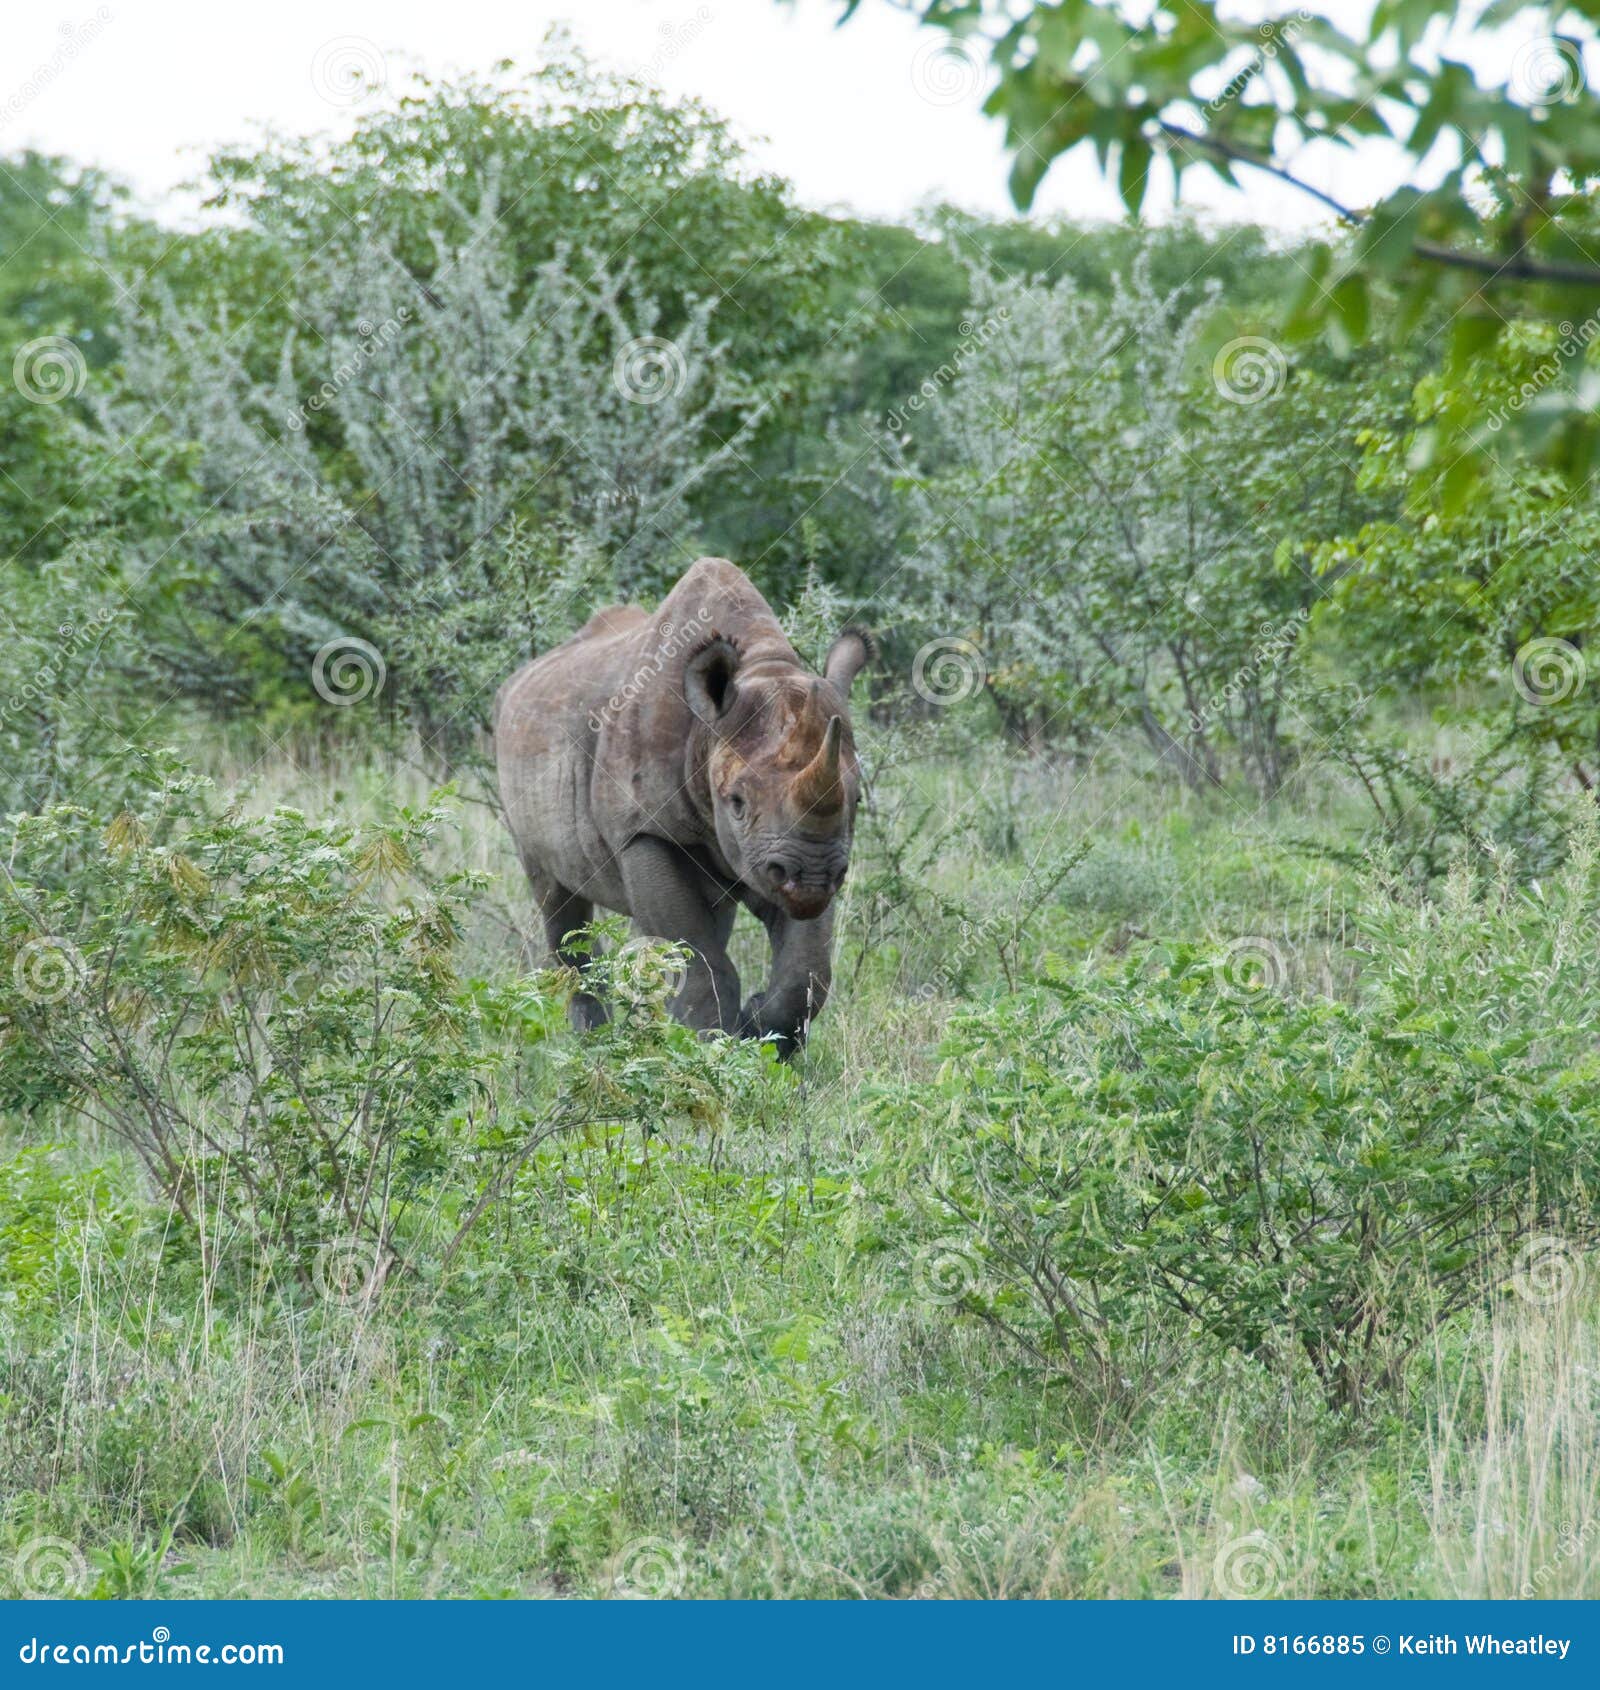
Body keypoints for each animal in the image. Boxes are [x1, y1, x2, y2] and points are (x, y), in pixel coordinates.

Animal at [494, 558, 874, 1053]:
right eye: (736, 803)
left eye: (857, 799)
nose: (808, 876)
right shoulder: (643, 830)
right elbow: (698, 956)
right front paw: (708, 1045)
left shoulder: (791, 852)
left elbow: (807, 967)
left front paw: (759, 1030)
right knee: (555, 895)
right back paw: (594, 1041)